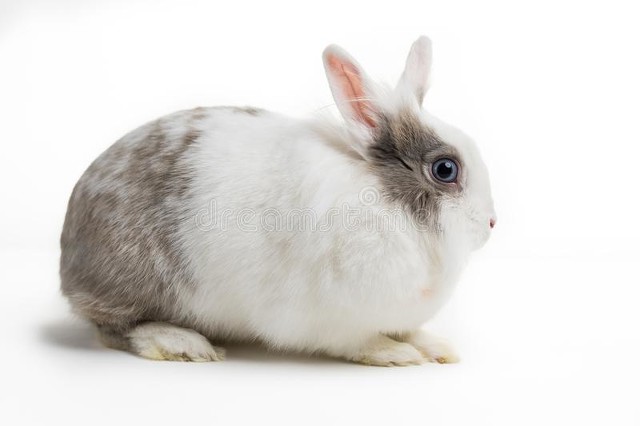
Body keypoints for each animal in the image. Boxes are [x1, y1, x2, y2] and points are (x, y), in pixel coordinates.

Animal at [60, 36, 496, 366]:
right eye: (445, 169)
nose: (492, 223)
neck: (394, 204)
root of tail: (68, 257)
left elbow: (413, 331)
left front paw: (437, 347)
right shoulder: (334, 319)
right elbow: (361, 342)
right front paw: (395, 354)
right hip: (133, 282)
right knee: (115, 328)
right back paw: (182, 343)